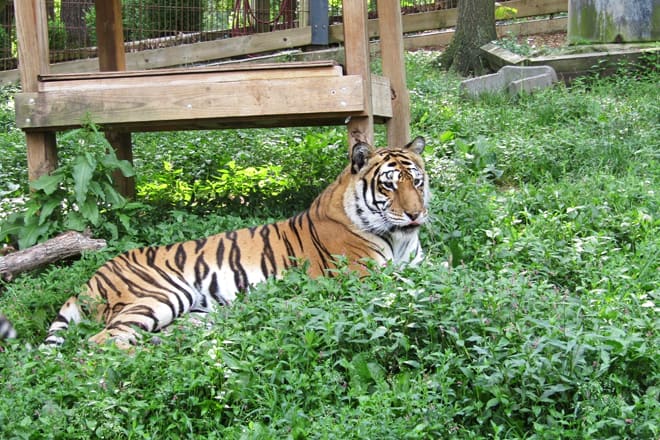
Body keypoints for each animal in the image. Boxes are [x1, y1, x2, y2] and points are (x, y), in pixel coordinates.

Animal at [44, 136, 429, 349]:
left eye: (417, 182)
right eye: (389, 185)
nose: (416, 214)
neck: (399, 239)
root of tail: (89, 280)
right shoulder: (364, 278)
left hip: (195, 314)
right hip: (160, 294)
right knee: (99, 343)